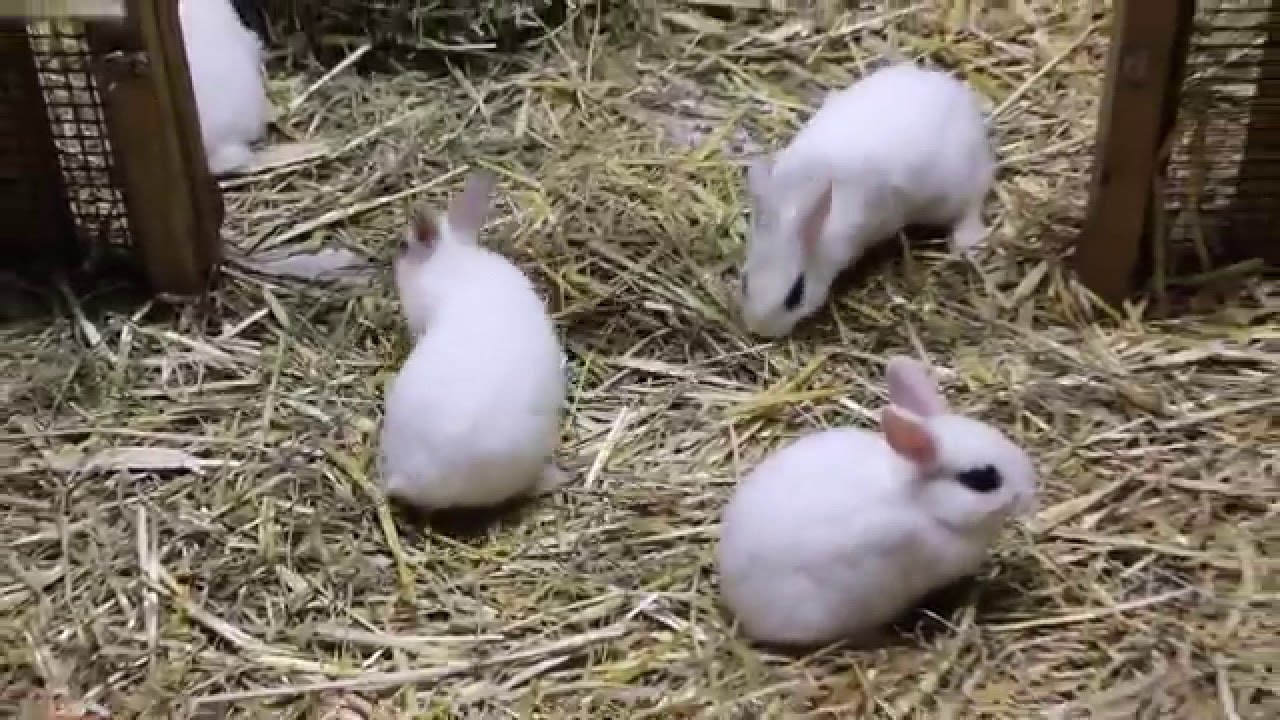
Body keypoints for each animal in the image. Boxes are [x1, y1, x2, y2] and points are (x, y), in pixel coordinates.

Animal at [738, 62, 996, 338]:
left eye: (796, 295)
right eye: (744, 281)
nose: (759, 329)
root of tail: (963, 100)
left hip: (958, 189)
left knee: (972, 205)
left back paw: (968, 242)